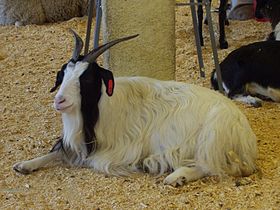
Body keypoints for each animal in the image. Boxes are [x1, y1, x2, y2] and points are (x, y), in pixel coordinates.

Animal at [13, 30, 258, 187]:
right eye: (63, 73)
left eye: (88, 79)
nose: (60, 101)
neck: (101, 109)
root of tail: (244, 131)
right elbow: (56, 153)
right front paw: (24, 165)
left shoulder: (119, 150)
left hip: (211, 137)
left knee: (214, 165)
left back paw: (175, 177)